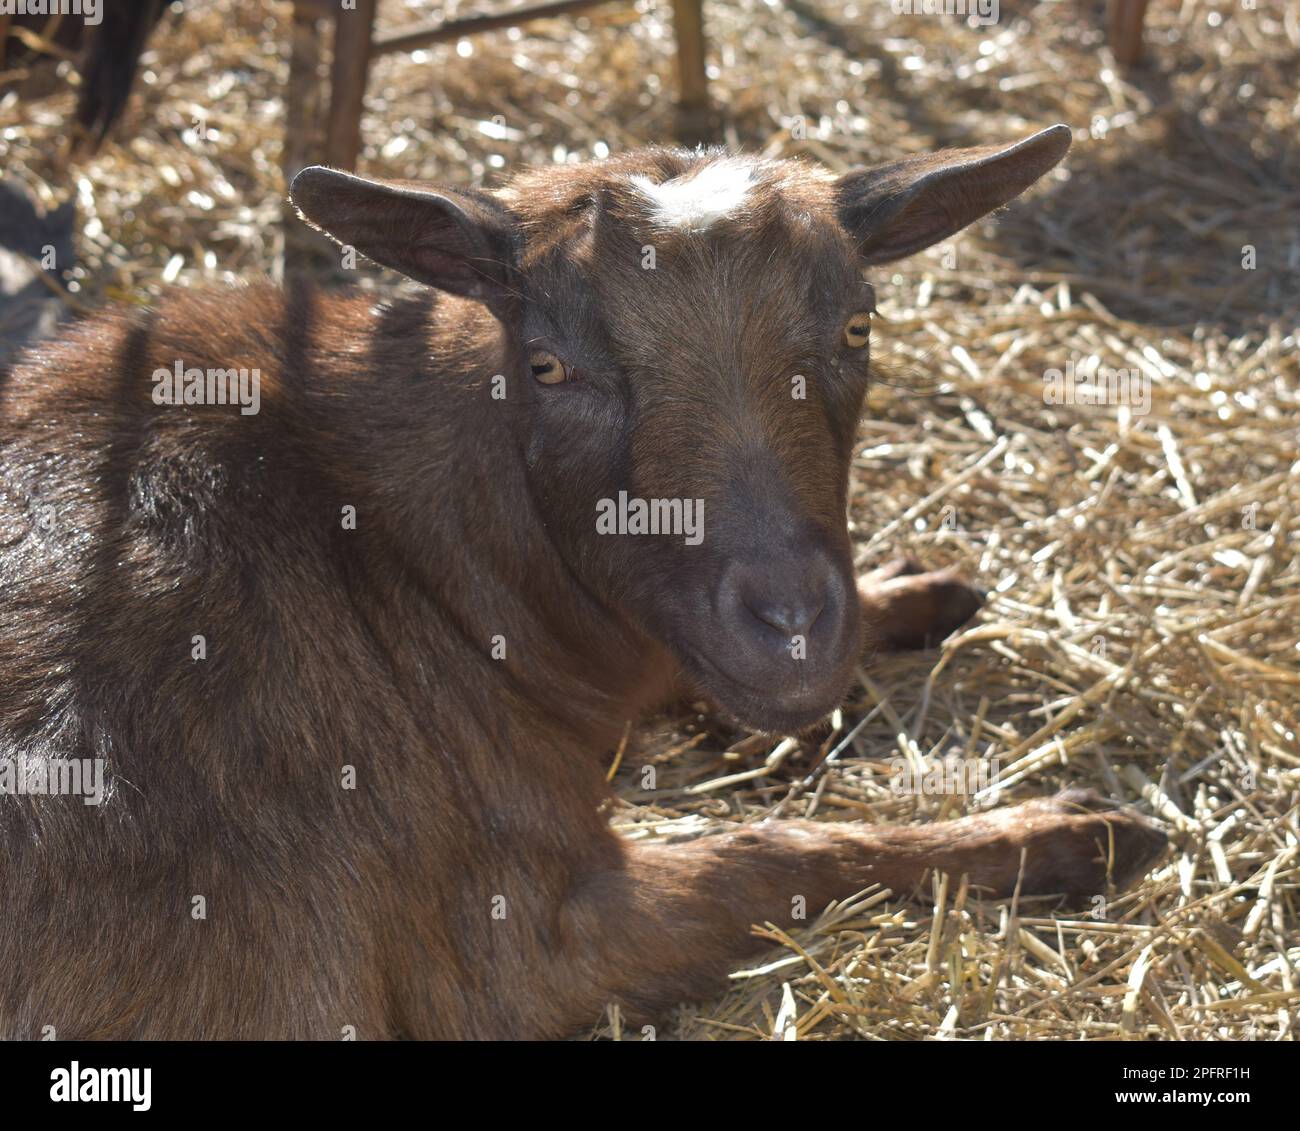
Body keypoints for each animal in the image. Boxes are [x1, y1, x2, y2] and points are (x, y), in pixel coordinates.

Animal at [0, 126, 1166, 1039]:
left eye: (856, 326)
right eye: (550, 365)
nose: (793, 626)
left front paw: (914, 594)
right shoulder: (526, 942)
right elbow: (777, 856)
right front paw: (1066, 834)